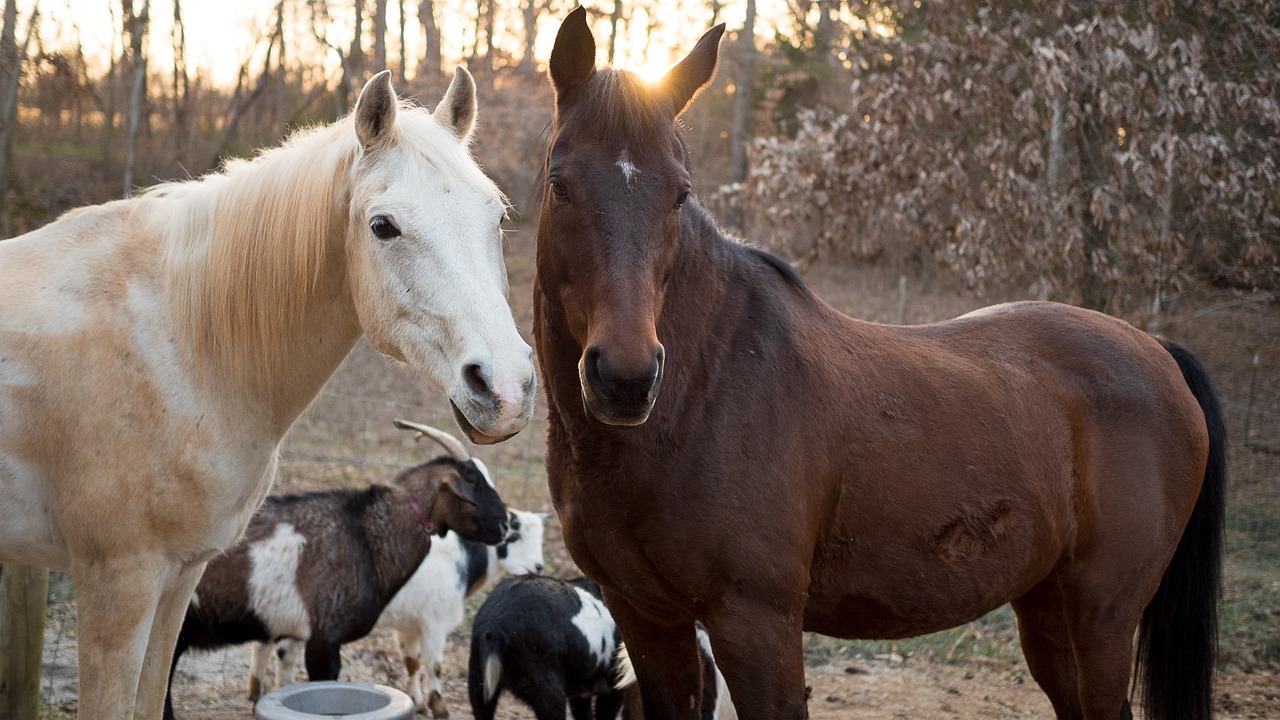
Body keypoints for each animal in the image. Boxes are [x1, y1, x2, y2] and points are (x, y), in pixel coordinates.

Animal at [261, 508, 549, 717]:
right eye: (514, 536)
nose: (537, 567)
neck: (461, 560)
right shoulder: (434, 622)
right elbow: (434, 664)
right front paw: (438, 708)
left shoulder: (409, 626)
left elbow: (413, 662)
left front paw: (417, 701)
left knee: (280, 650)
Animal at [532, 9, 1225, 720]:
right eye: (560, 184)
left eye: (680, 194)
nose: (625, 379)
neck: (704, 392)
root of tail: (1158, 351)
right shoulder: (646, 617)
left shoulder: (757, 624)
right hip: (1048, 610)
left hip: (1102, 619)